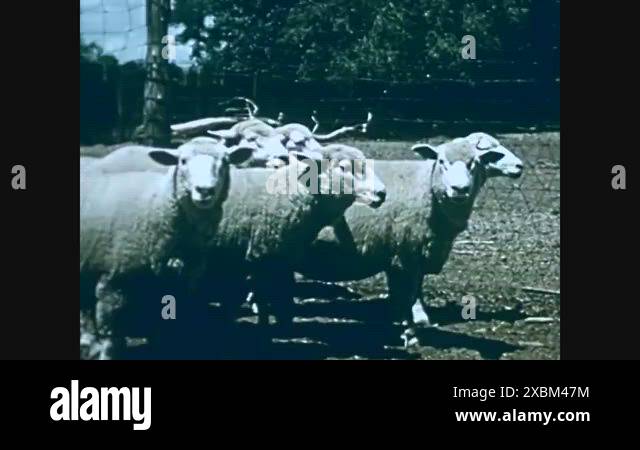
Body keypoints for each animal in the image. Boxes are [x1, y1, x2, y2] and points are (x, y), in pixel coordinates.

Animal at [80, 142, 255, 359]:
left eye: (225, 161)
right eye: (183, 161)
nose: (205, 190)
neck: (157, 204)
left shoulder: (181, 279)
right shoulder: (114, 277)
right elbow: (111, 333)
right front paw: (107, 353)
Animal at [295, 136, 518, 347]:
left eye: (475, 163)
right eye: (441, 161)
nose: (459, 189)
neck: (427, 188)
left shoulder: (412, 257)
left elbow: (408, 296)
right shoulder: (404, 255)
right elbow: (406, 297)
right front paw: (409, 333)